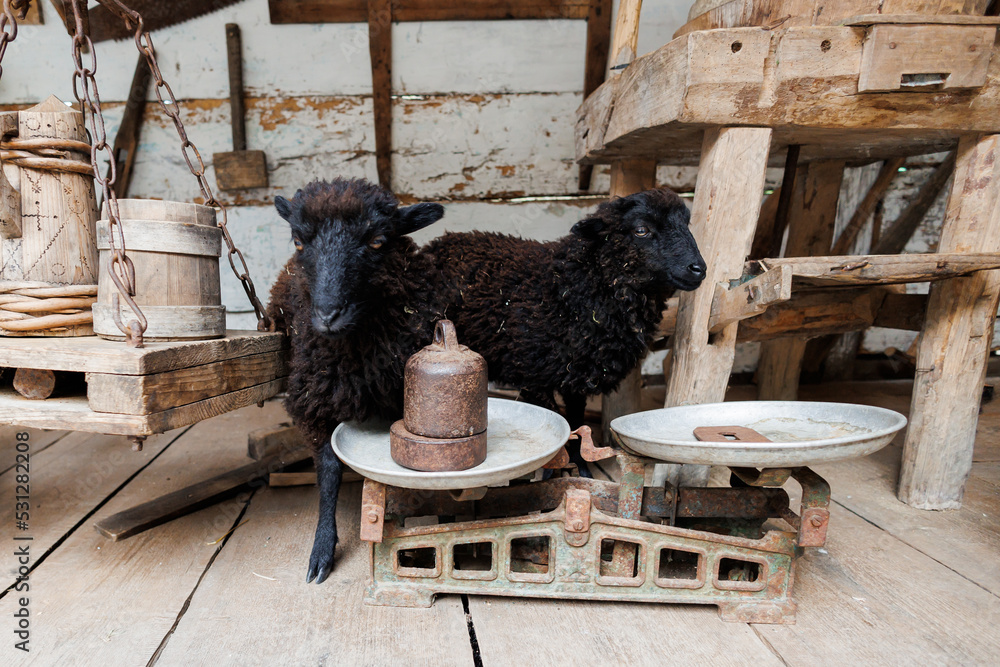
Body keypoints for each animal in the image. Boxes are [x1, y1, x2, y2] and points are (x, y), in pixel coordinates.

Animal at [267, 178, 447, 584]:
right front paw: (321, 550)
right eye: (299, 241)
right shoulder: (312, 405)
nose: (328, 314)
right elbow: (329, 470)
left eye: (378, 240)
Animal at [423, 188, 706, 466]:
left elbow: (577, 422)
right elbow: (558, 425)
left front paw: (581, 465)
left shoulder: (577, 375)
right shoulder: (534, 376)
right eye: (641, 229)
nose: (699, 269)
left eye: (686, 223)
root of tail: (436, 243)